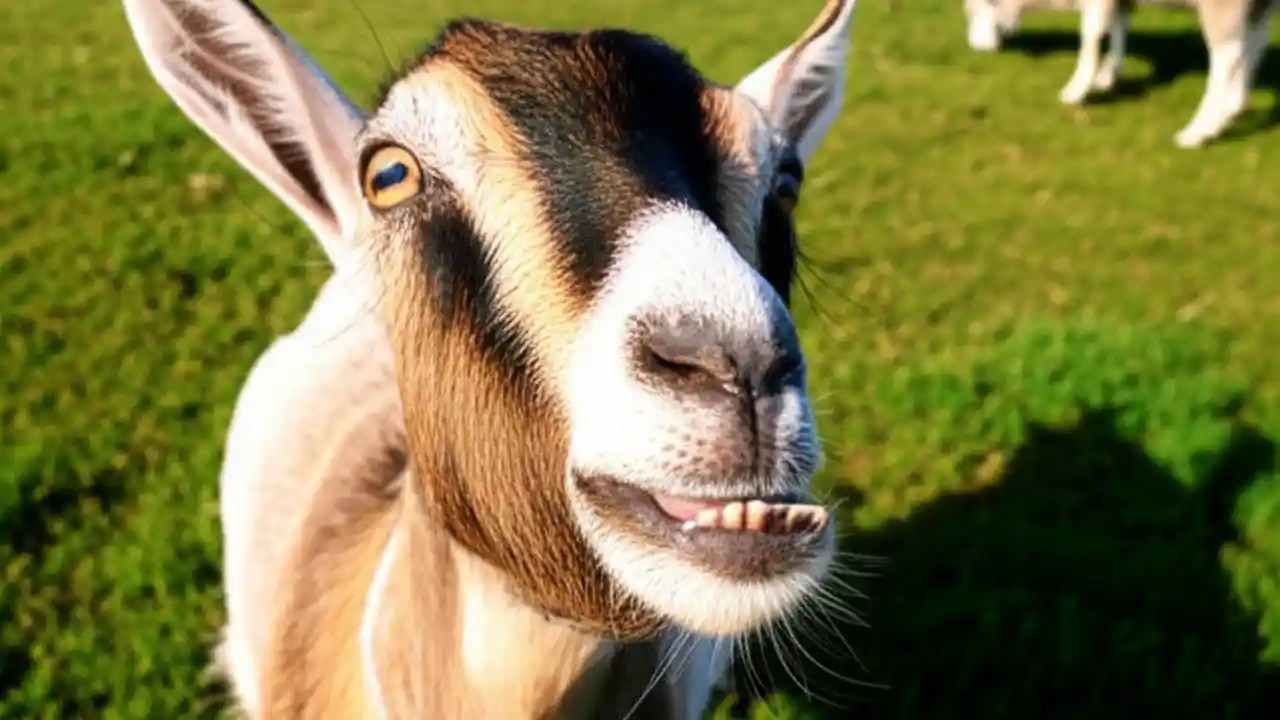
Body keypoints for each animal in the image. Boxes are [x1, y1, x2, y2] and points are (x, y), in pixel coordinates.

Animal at [963, 0, 1276, 147]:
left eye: (975, 9)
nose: (976, 48)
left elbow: (1091, 32)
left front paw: (1077, 90)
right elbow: (1118, 26)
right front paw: (1108, 76)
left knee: (1229, 55)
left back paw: (1200, 130)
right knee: (1255, 43)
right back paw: (1232, 109)